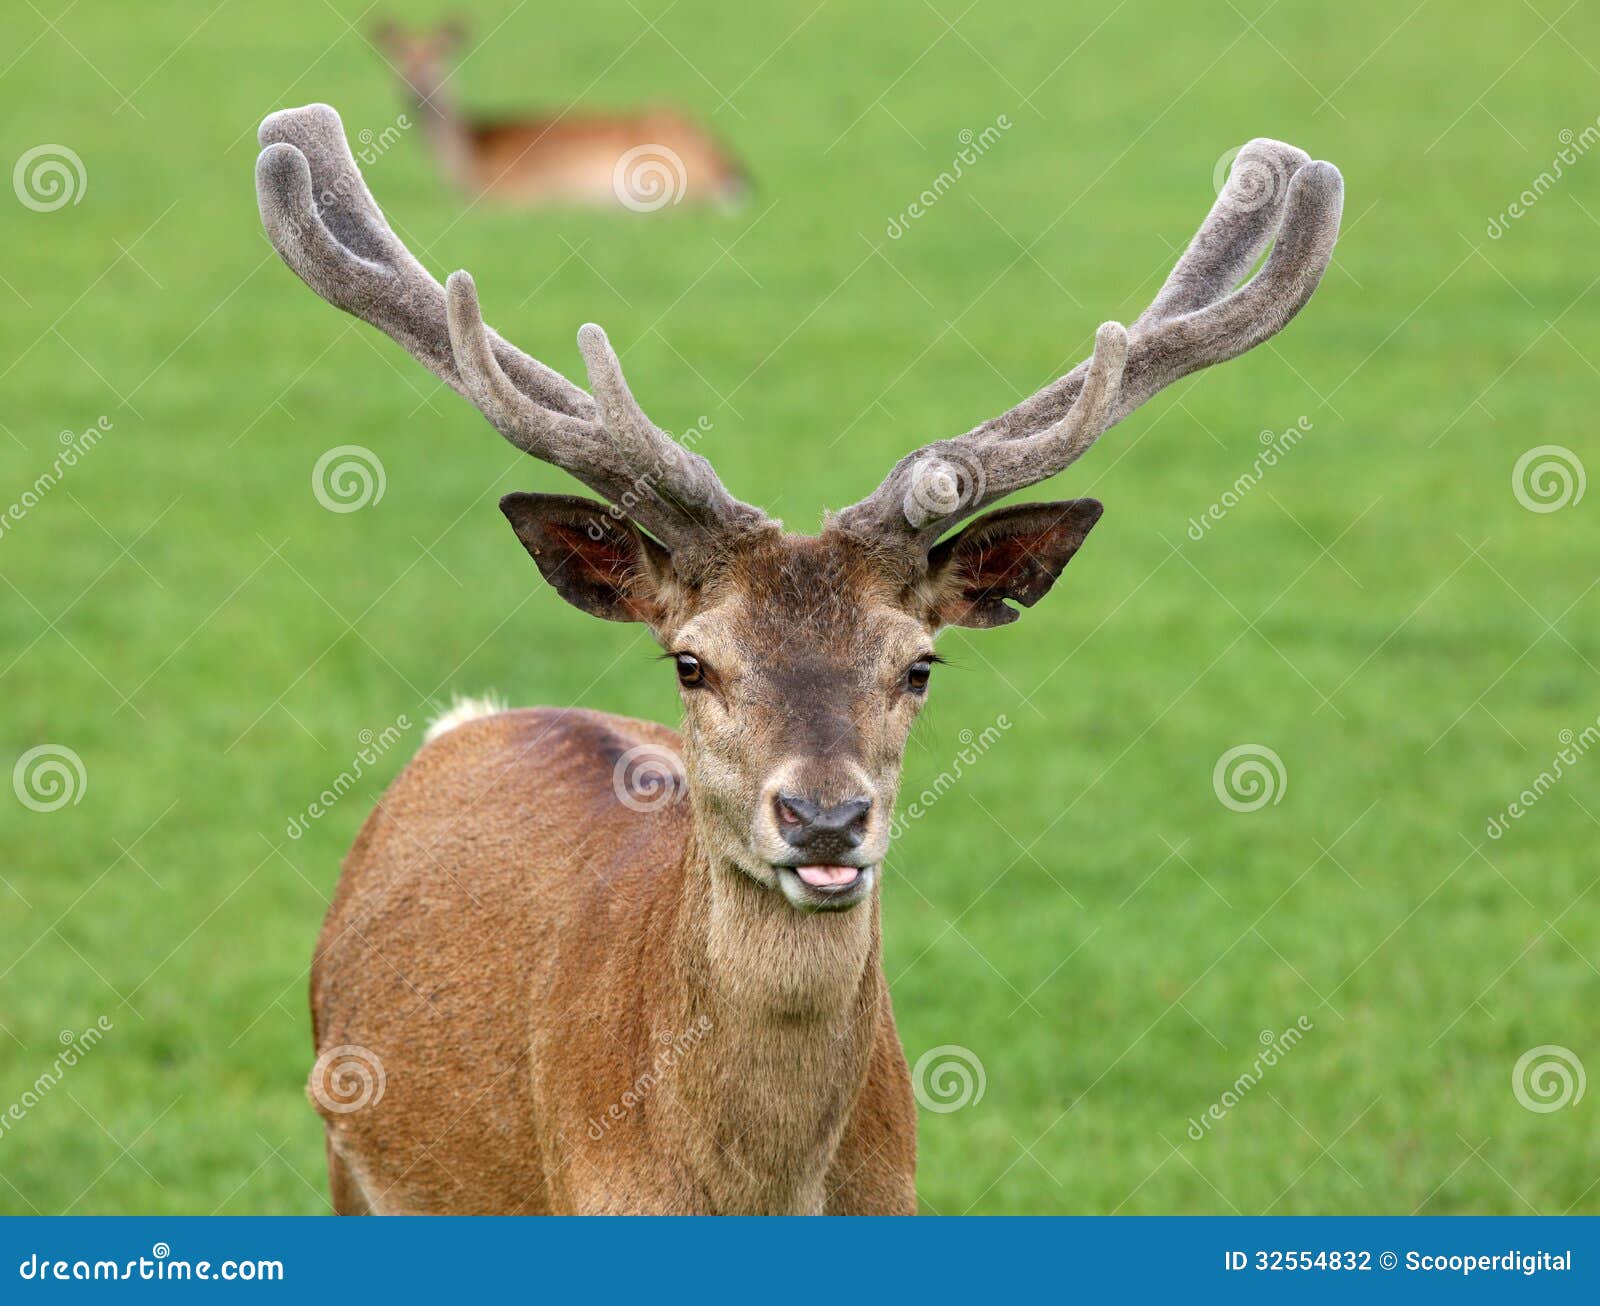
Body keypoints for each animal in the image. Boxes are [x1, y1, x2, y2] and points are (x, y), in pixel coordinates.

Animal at [255, 103, 1342, 1215]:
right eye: (691, 663)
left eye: (919, 665)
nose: (825, 818)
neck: (759, 1193)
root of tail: (471, 722)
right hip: (348, 1158)